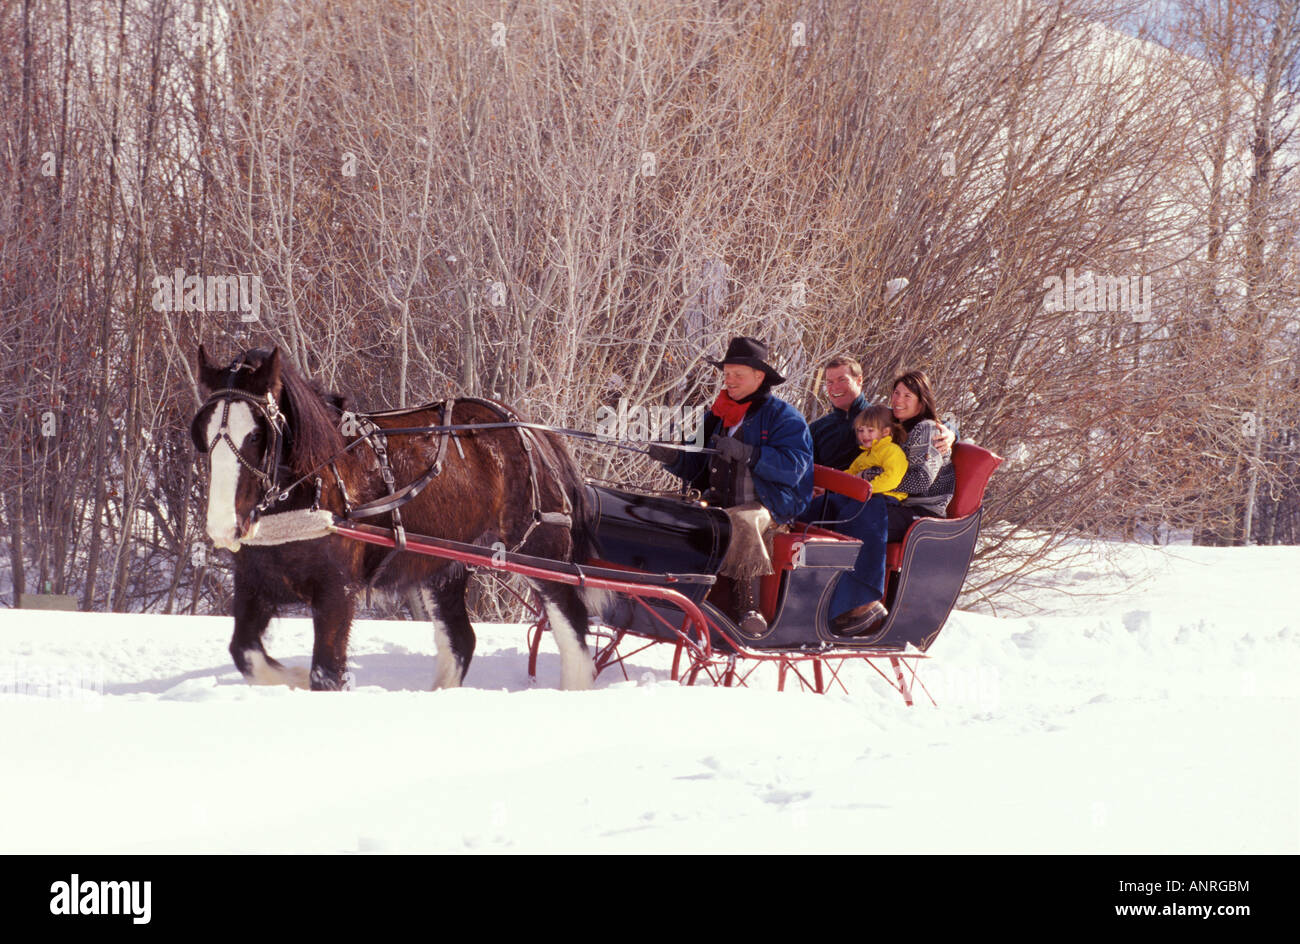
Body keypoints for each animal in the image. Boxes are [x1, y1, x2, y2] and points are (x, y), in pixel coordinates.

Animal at [190, 345, 600, 691]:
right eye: (203, 434)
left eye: (257, 435)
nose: (223, 527)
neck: (315, 488)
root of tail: (529, 429)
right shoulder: (253, 584)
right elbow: (245, 652)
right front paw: (290, 677)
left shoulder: (337, 591)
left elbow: (326, 672)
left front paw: (304, 680)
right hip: (444, 566)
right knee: (461, 640)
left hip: (541, 553)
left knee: (573, 630)